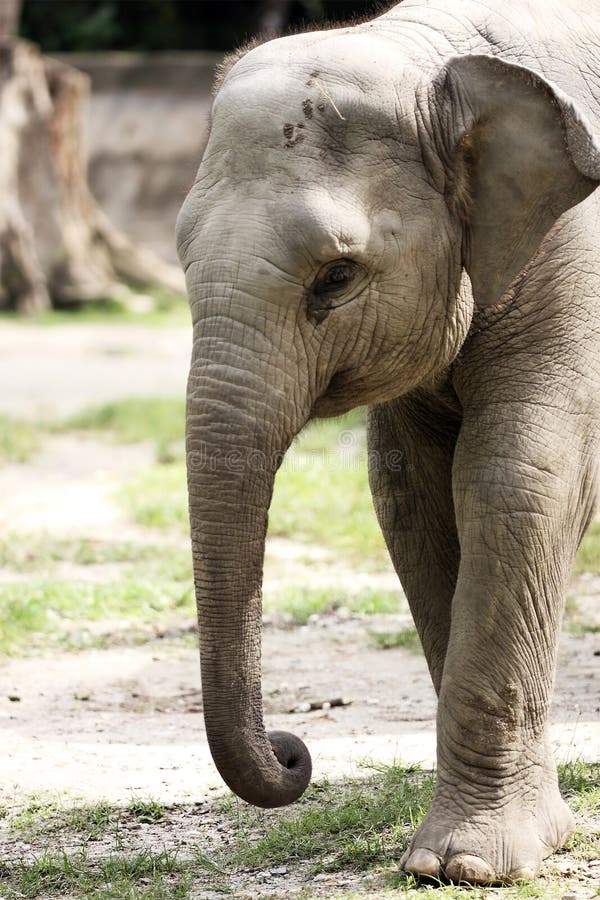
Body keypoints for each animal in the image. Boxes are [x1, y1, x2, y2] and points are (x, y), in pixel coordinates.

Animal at [176, 0, 600, 885]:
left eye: (335, 277)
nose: (295, 750)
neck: (432, 59)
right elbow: (410, 493)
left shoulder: (577, 254)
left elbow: (519, 477)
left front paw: (468, 867)